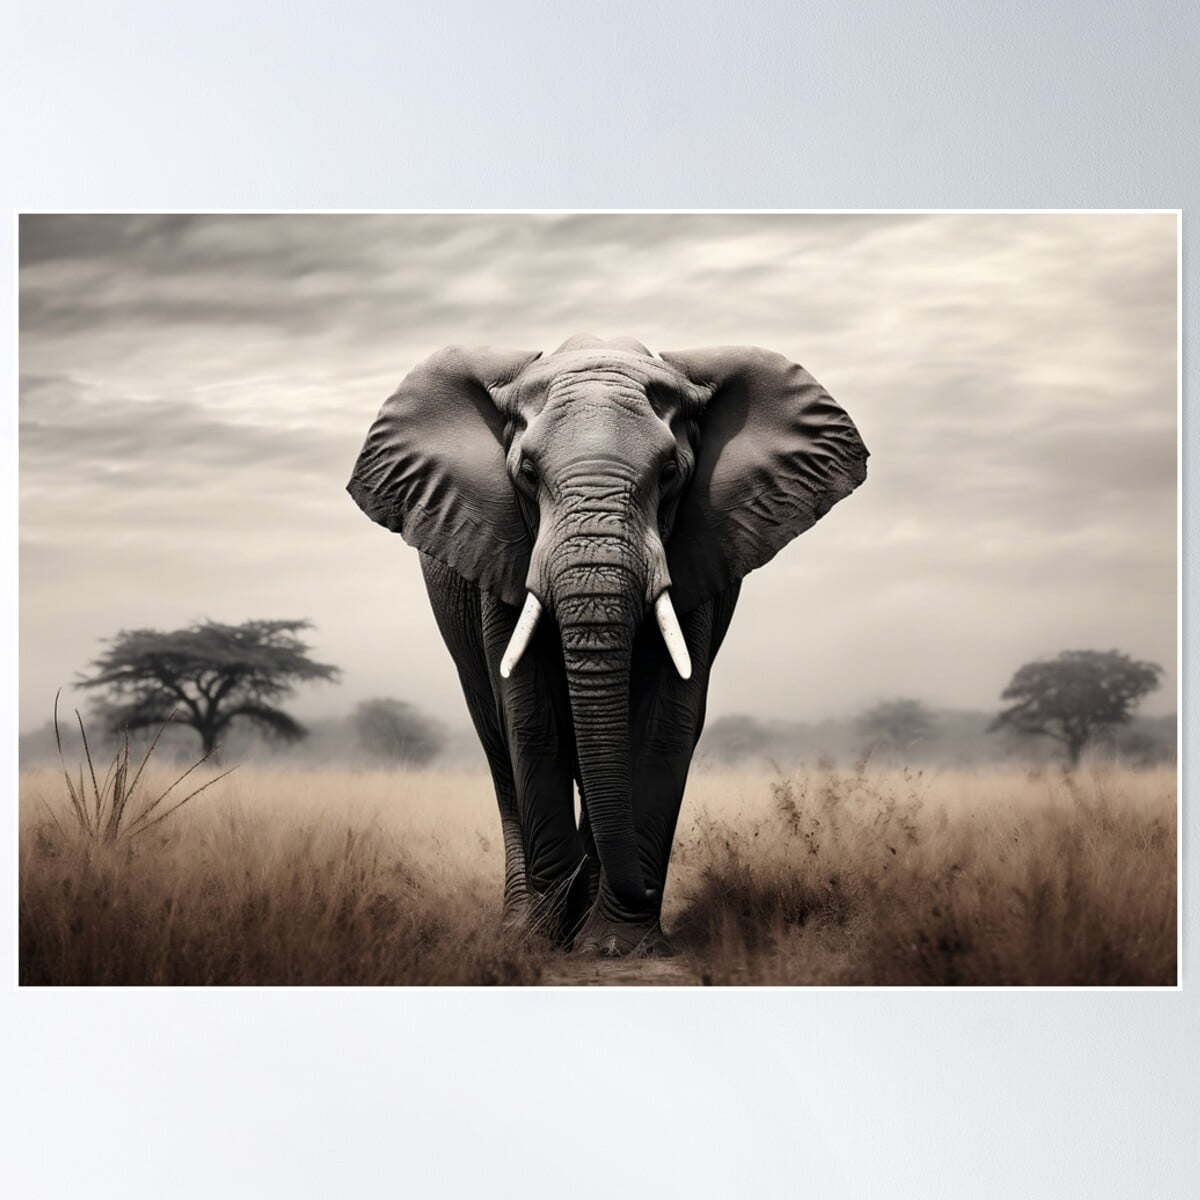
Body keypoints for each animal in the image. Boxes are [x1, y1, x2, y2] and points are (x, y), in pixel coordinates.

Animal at [347, 335, 868, 956]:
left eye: (670, 473)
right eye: (526, 472)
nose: (645, 888)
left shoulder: (696, 552)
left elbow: (667, 719)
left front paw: (618, 944)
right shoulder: (501, 546)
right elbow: (529, 715)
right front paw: (545, 939)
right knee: (498, 745)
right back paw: (530, 922)